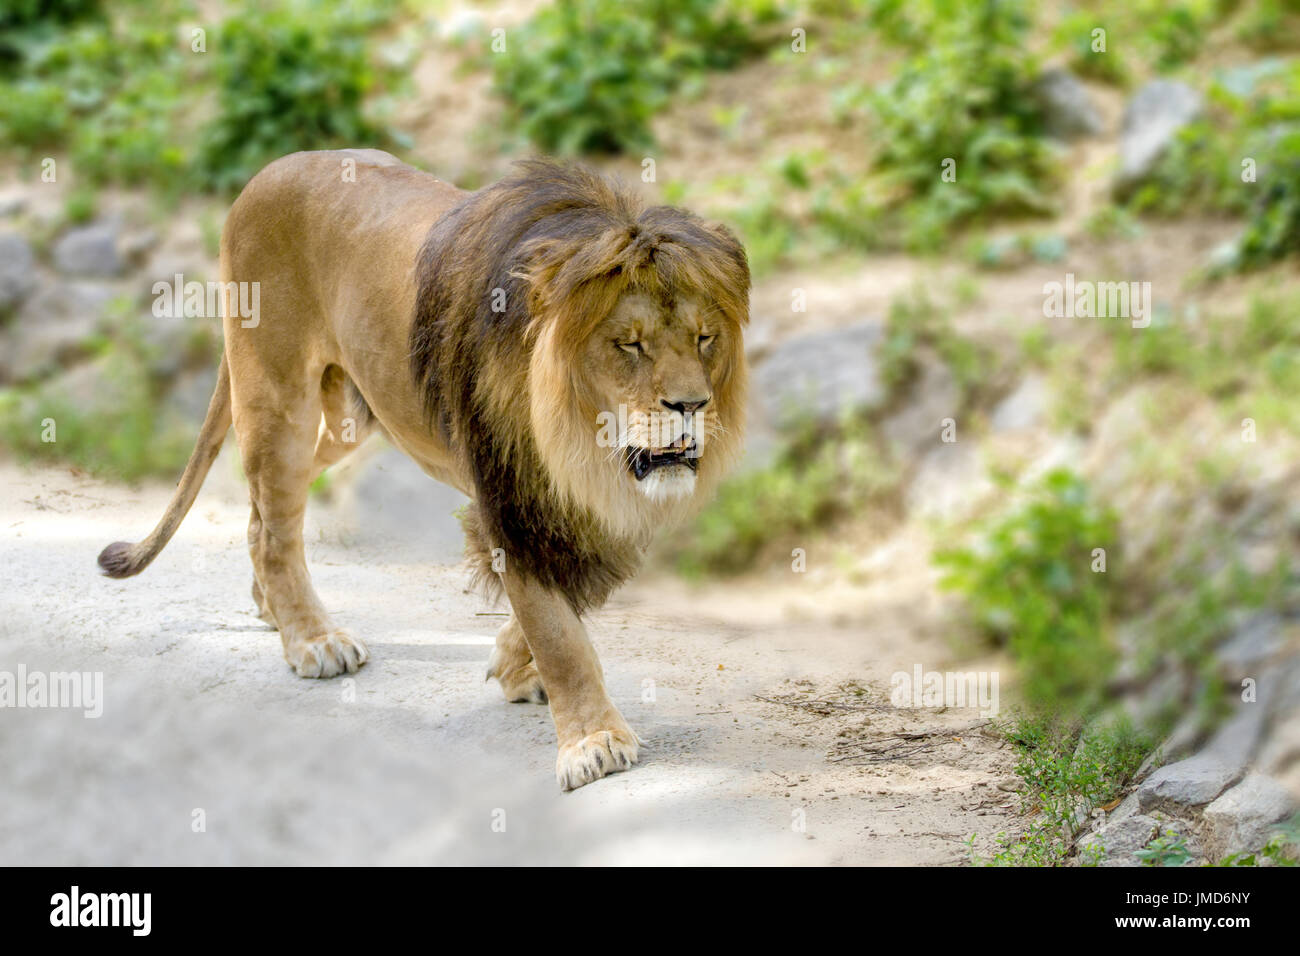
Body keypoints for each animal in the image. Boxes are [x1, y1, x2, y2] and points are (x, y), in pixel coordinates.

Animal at [97, 149, 750, 790]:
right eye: (629, 344)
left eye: (704, 338)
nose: (692, 405)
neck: (582, 440)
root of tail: (266, 172)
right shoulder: (510, 496)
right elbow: (558, 632)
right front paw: (593, 742)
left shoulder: (578, 504)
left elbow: (557, 606)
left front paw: (513, 668)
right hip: (277, 396)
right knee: (274, 528)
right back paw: (312, 639)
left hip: (348, 418)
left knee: (265, 513)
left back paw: (271, 608)